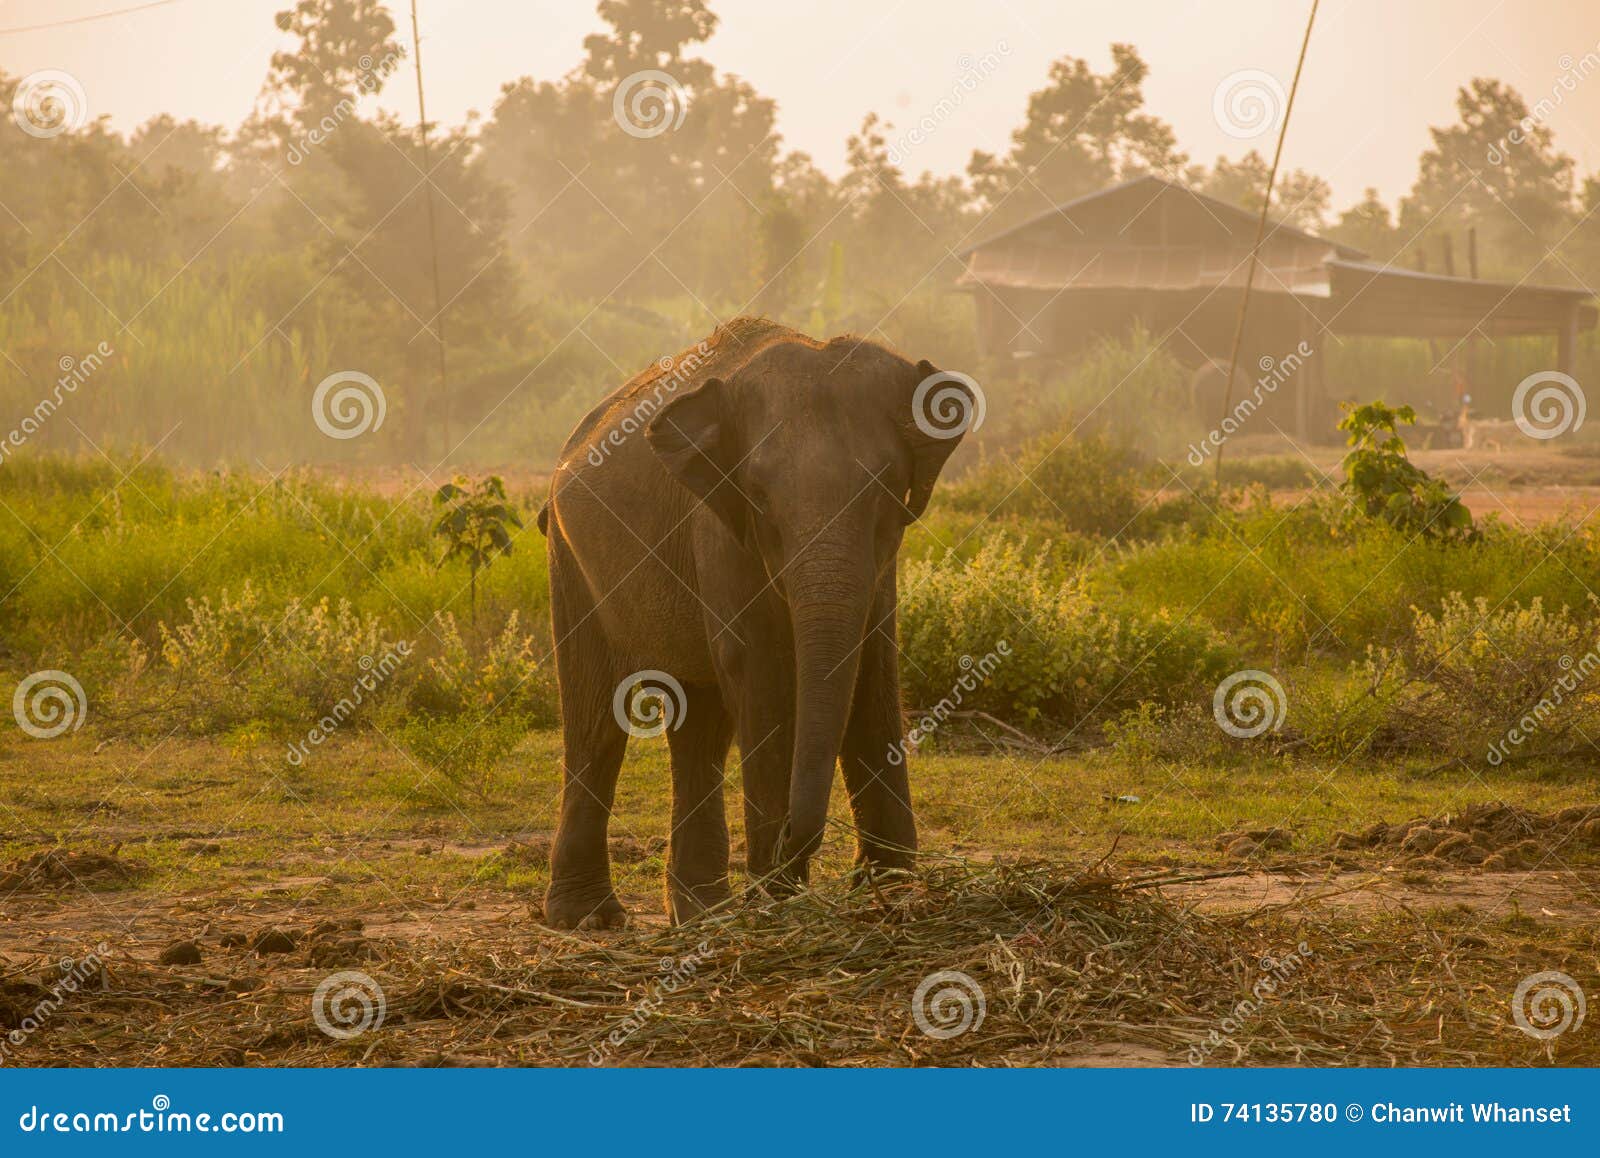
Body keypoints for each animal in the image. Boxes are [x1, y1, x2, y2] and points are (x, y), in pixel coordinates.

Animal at [534, 316, 974, 928]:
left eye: (887, 489)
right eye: (760, 496)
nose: (790, 836)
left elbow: (873, 669)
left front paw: (893, 889)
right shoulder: (720, 527)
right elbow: (761, 671)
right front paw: (777, 899)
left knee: (698, 723)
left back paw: (701, 912)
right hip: (571, 563)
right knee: (596, 717)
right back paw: (590, 919)